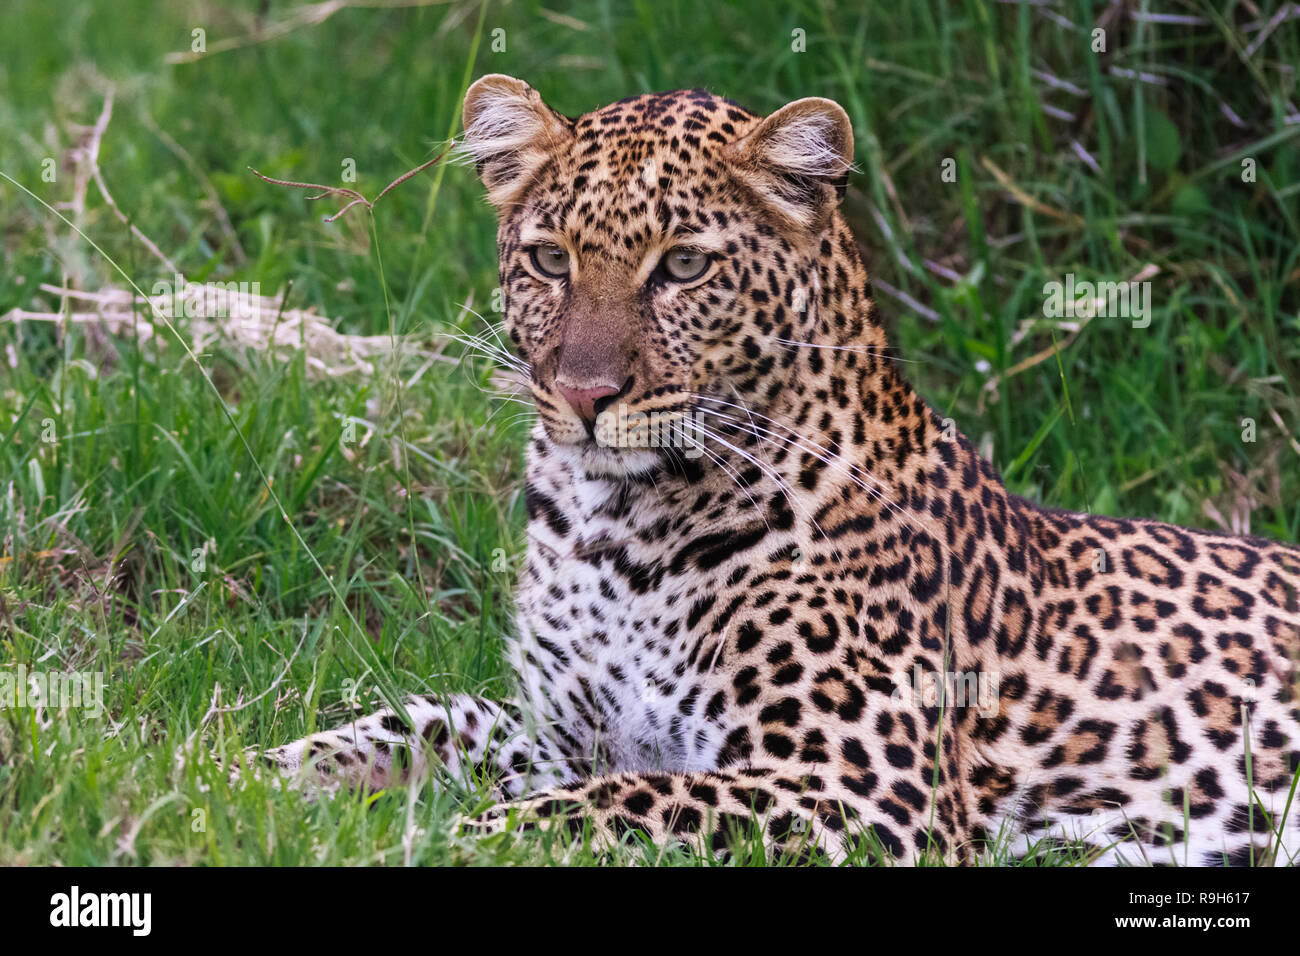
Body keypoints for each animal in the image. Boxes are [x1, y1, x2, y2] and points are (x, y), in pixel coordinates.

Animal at [251, 74, 1300, 866]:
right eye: (549, 260)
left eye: (681, 268)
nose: (584, 395)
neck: (610, 524)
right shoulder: (565, 733)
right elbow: (420, 719)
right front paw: (249, 778)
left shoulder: (859, 789)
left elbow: (609, 806)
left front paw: (445, 840)